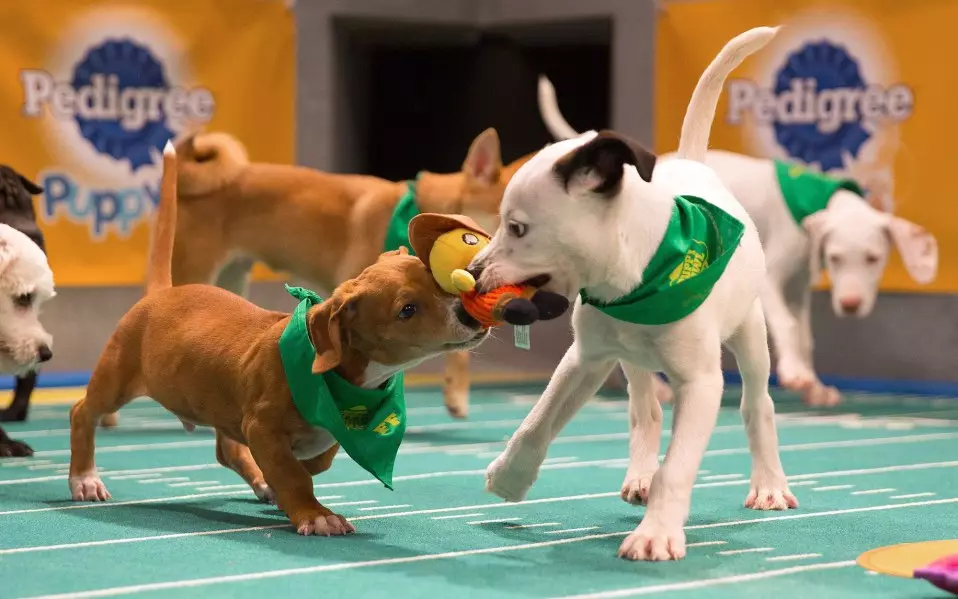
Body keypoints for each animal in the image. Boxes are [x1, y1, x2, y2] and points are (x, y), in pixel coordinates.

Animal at [70, 143, 488, 536]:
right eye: (407, 310)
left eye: (438, 280)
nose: (469, 314)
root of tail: (161, 292)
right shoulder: (262, 426)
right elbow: (292, 473)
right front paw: (314, 514)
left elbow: (316, 459)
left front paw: (290, 476)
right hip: (117, 377)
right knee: (83, 412)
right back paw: (85, 479)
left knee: (227, 450)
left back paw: (258, 481)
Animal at [468, 27, 800, 564]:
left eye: (517, 228)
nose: (473, 274)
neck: (636, 278)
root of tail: (693, 164)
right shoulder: (585, 359)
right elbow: (536, 423)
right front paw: (510, 476)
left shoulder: (701, 383)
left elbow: (679, 466)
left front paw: (657, 533)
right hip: (631, 359)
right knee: (645, 409)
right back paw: (642, 472)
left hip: (750, 335)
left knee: (758, 406)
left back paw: (769, 483)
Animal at [544, 61, 940, 410]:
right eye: (836, 257)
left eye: (874, 258)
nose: (851, 304)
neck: (819, 196)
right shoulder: (773, 278)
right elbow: (786, 325)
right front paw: (796, 374)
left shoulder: (799, 285)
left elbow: (804, 336)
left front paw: (814, 386)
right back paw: (656, 388)